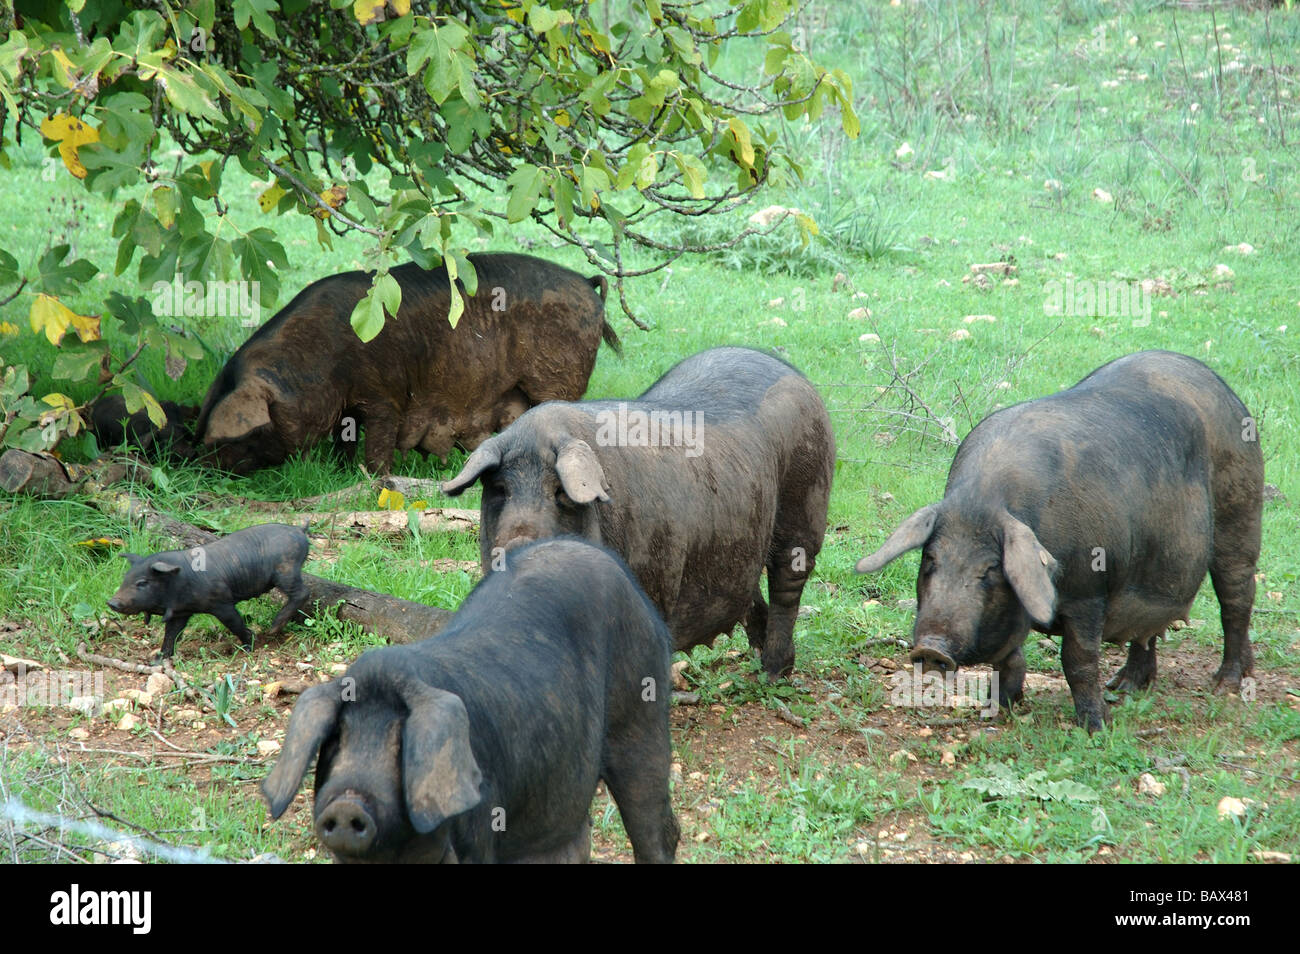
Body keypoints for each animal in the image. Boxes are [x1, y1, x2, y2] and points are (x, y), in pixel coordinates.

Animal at [107, 523, 311, 660]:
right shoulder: (181, 612)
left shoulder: (221, 602)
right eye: (125, 578)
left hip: (286, 568)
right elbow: (171, 635)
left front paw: (248, 646)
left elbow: (235, 623)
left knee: (302, 592)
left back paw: (273, 628)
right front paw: (158, 660)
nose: (111, 602)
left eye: (142, 582)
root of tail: (299, 530)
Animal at [195, 253, 621, 474]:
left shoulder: (384, 395)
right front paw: (338, 472)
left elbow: (379, 441)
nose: (198, 464)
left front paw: (375, 479)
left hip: (557, 378)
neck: (321, 362)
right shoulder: (348, 407)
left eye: (243, 434)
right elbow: (344, 440)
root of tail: (587, 285)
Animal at [261, 537, 679, 864]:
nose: (347, 803)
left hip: (641, 714)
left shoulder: (480, 825)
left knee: (657, 825)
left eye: (402, 744)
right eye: (335, 740)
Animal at [440, 346, 835, 679]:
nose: (517, 543)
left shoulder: (658, 574)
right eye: (500, 490)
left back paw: (773, 673)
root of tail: (795, 374)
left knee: (788, 582)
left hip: (806, 497)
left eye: (560, 493)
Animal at [855, 350, 1263, 731]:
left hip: (1241, 514)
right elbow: (1007, 658)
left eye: (990, 570)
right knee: (1146, 630)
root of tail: (1226, 391)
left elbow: (1078, 660)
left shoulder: (1089, 590)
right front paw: (996, 710)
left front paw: (1097, 728)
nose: (931, 648)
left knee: (1237, 600)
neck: (985, 500)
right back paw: (1125, 687)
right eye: (930, 560)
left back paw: (1225, 684)